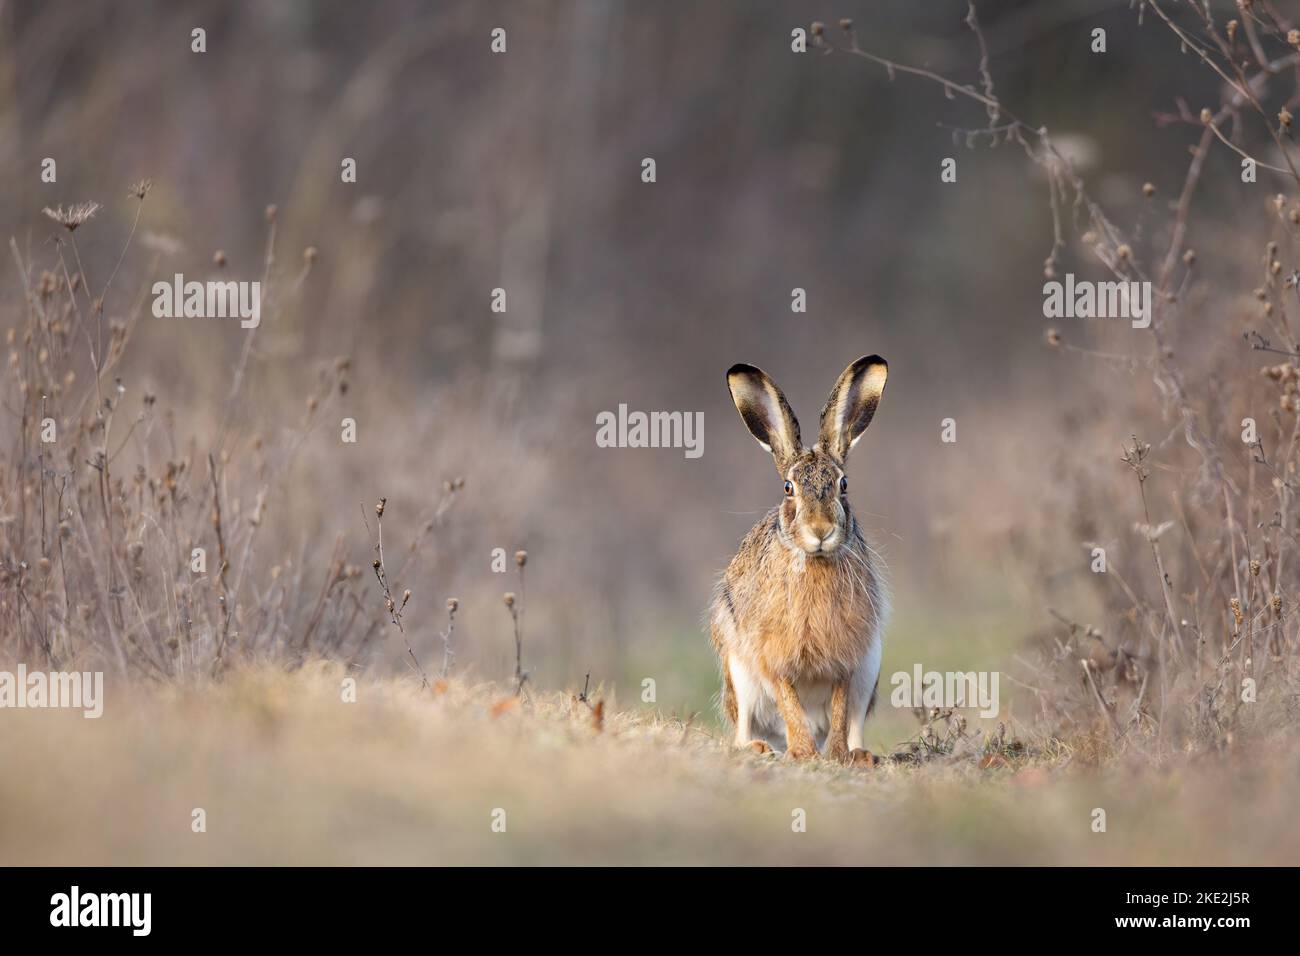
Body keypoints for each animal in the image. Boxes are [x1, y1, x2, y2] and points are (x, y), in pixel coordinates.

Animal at [709, 355, 889, 765]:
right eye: (788, 488)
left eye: (843, 485)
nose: (820, 530)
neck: (813, 561)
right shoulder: (772, 654)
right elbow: (788, 699)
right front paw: (803, 753)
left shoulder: (847, 658)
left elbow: (839, 708)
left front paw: (835, 755)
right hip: (738, 672)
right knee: (745, 723)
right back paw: (759, 748)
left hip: (871, 666)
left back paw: (860, 754)